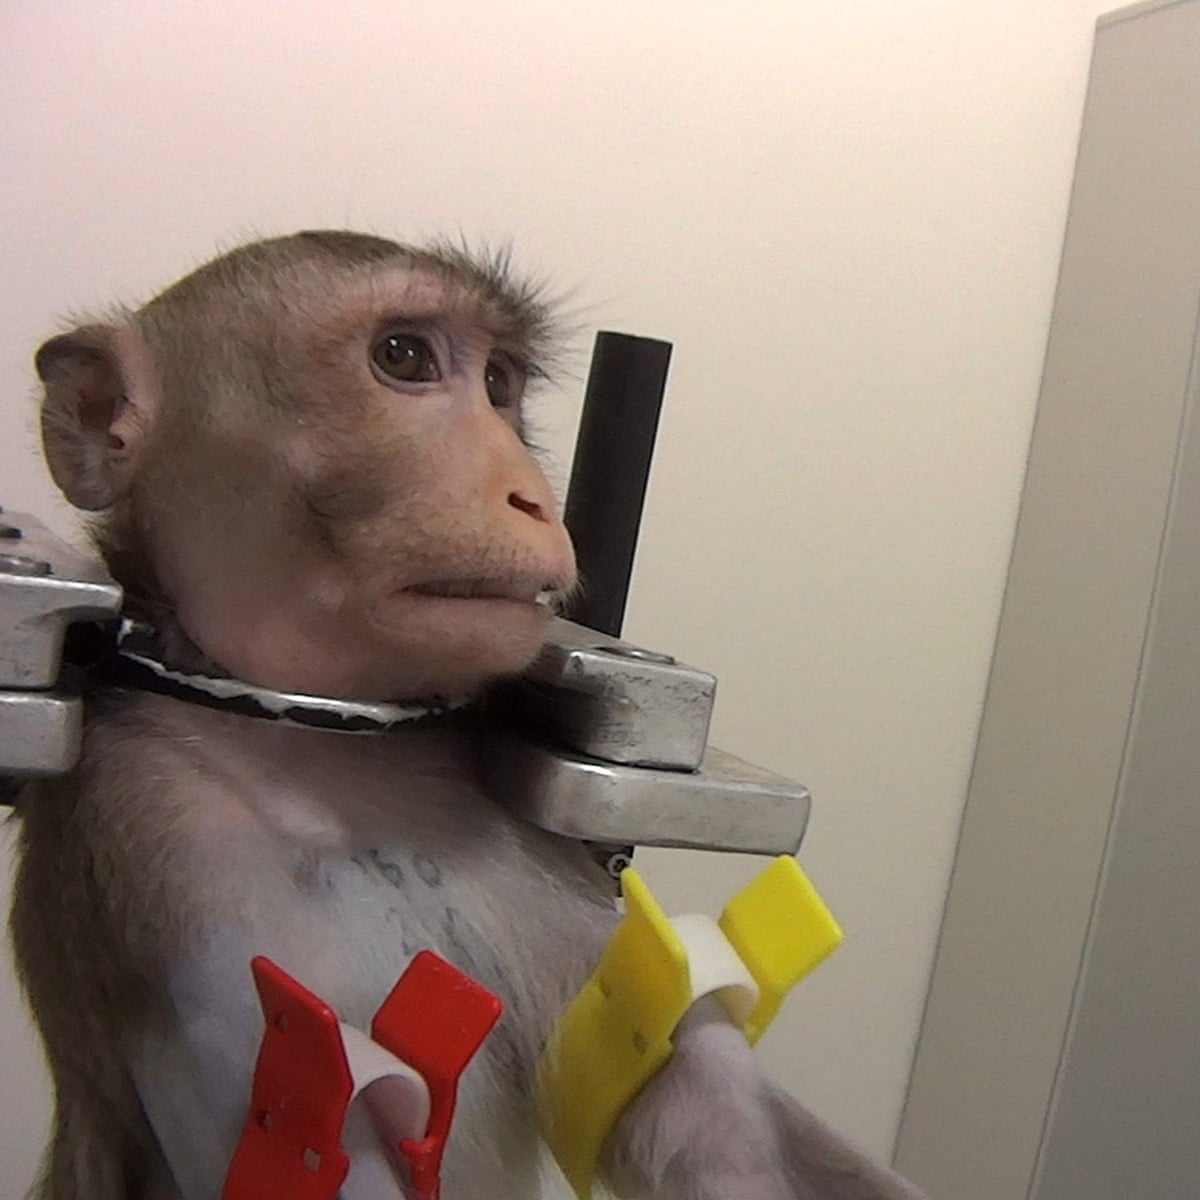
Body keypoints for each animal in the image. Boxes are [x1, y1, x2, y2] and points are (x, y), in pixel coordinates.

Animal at [8, 231, 930, 1200]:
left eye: (499, 383)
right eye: (403, 357)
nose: (531, 496)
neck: (321, 742)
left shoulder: (540, 869)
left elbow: (684, 1102)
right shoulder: (164, 855)